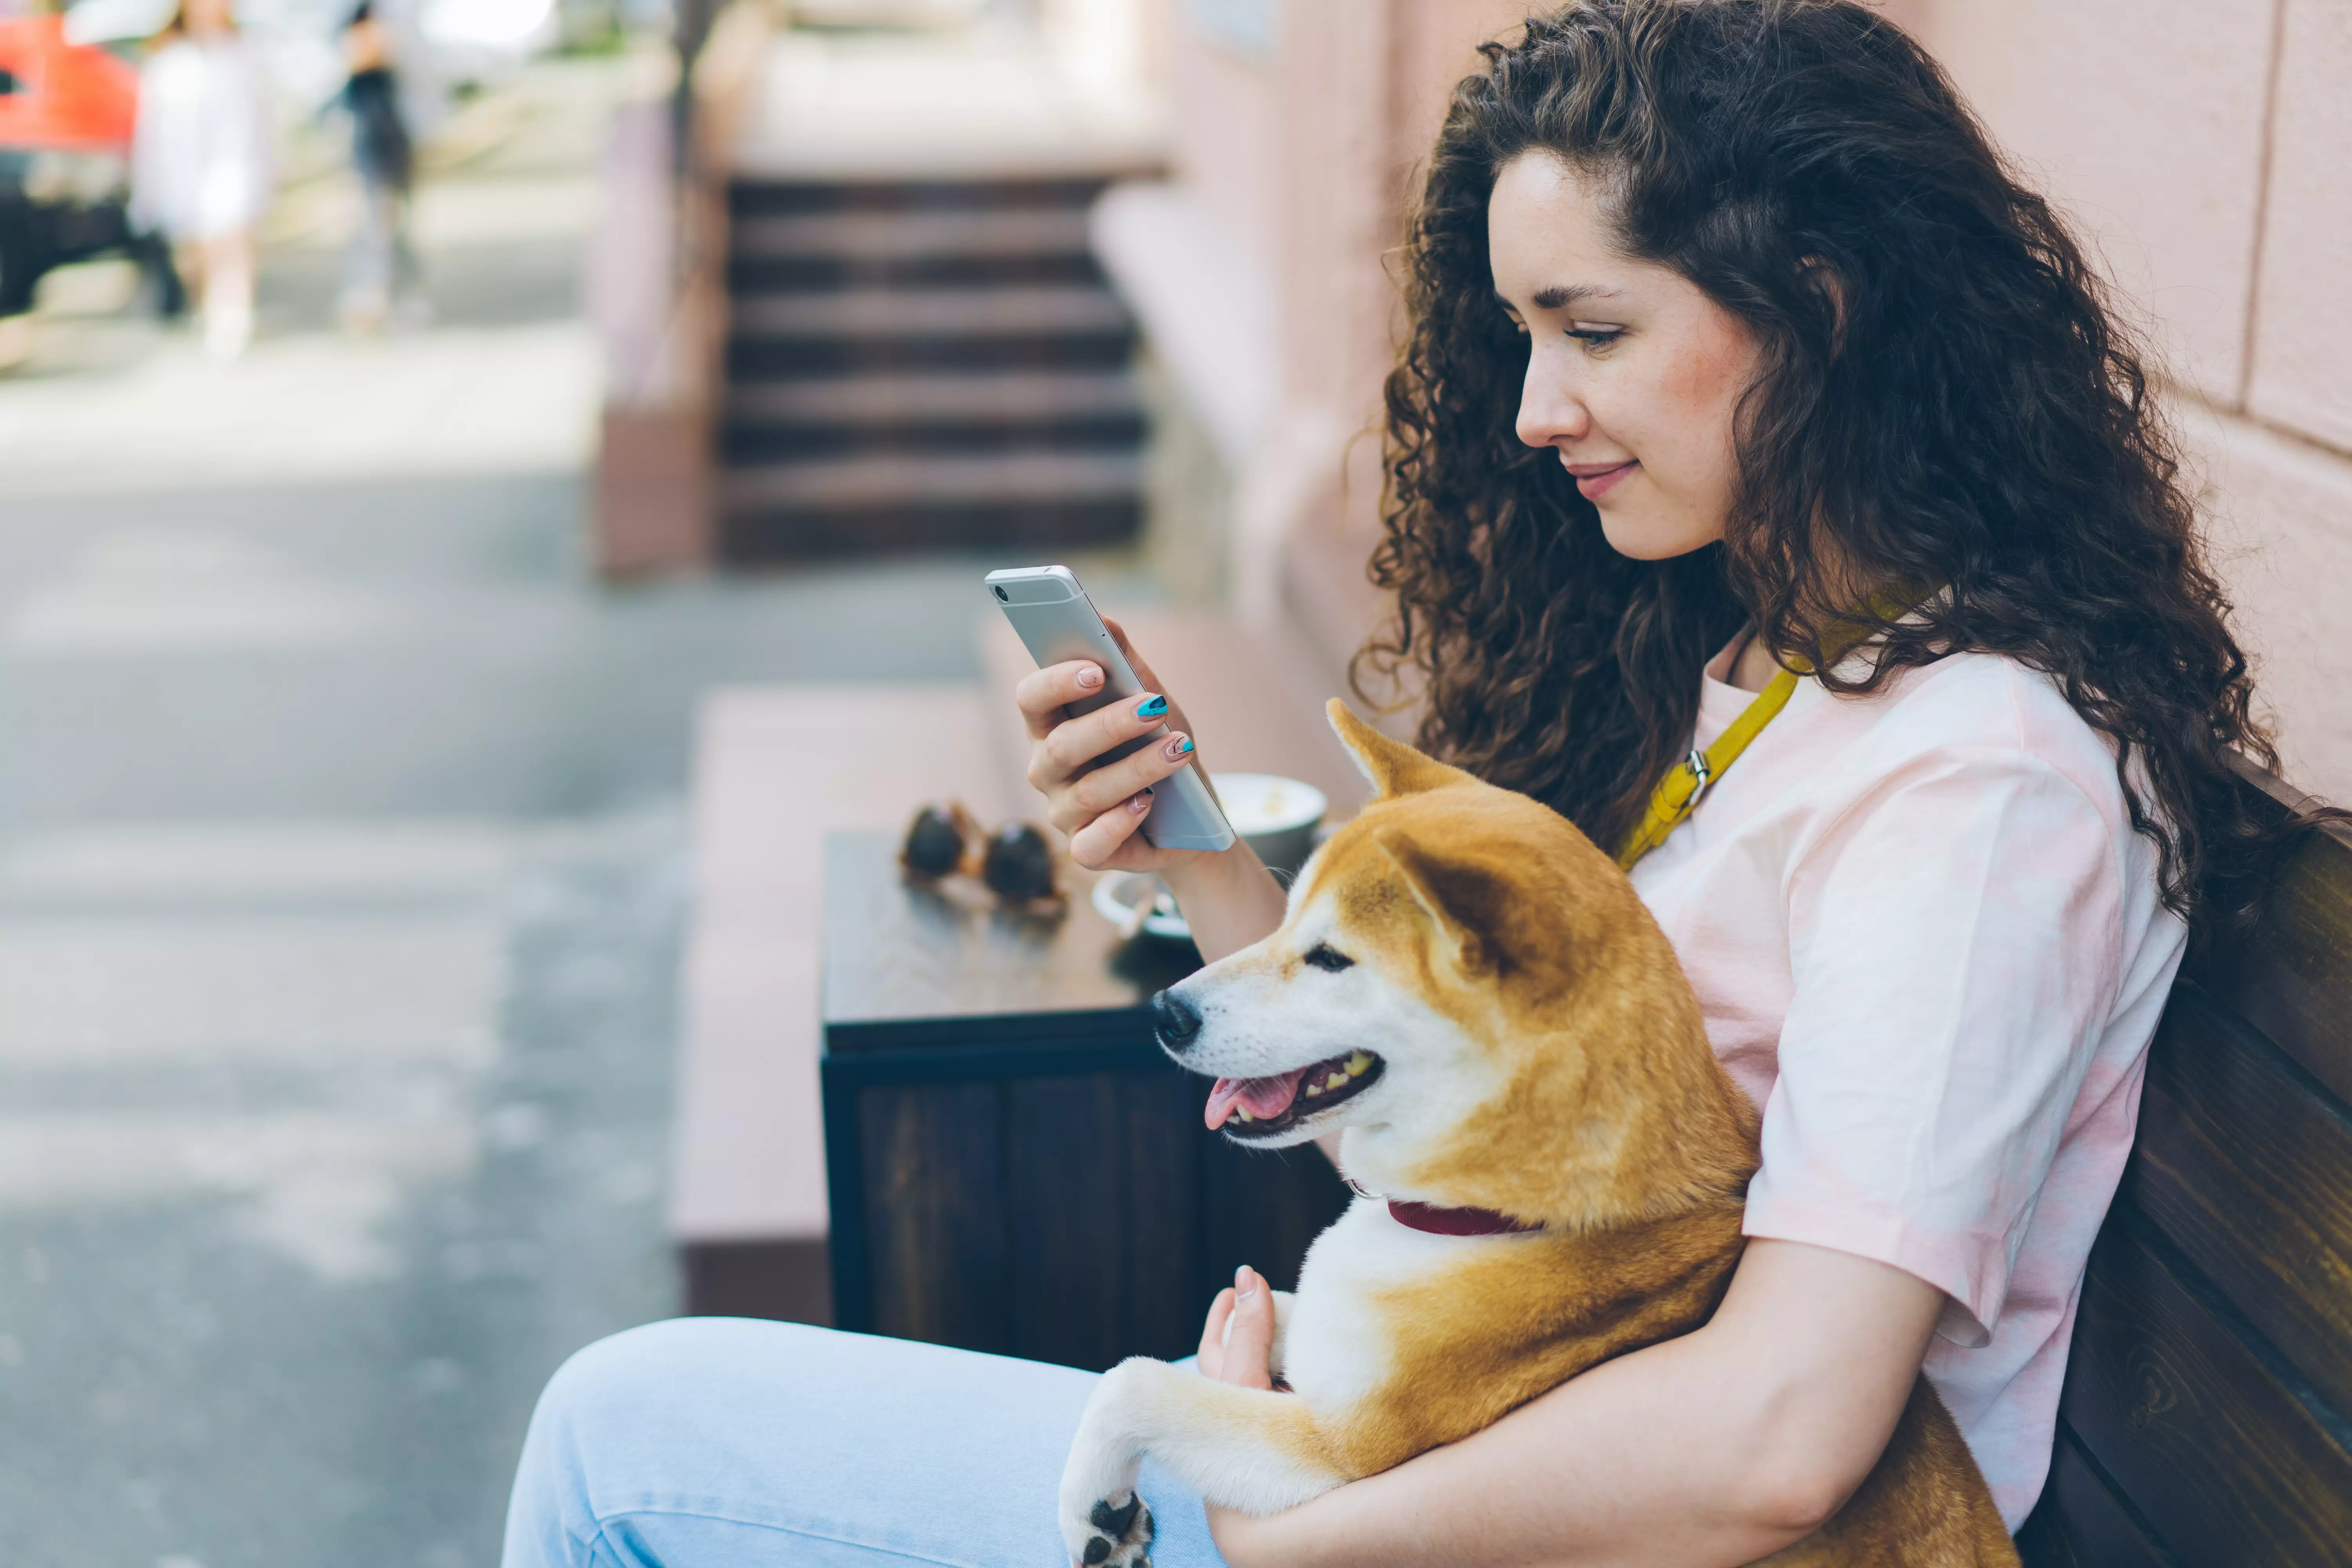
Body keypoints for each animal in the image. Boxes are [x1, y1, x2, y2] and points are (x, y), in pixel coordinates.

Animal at [1058, 705, 2013, 1568]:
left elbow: (1134, 1379)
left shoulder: (1342, 1451)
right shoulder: (1330, 1343)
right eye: (1286, 922)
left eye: (1331, 958)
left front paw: (1088, 1506)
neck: (1492, 1220)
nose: (1166, 1010)